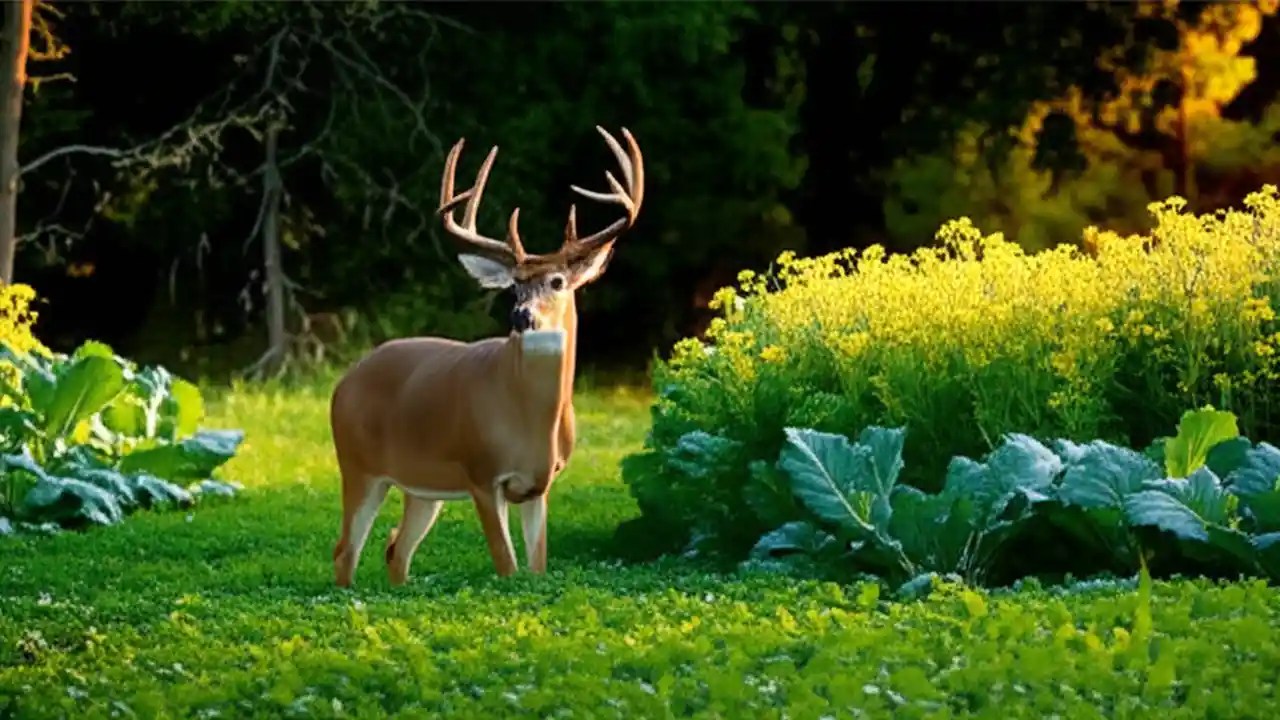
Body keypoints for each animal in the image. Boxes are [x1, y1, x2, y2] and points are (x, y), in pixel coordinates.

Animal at [329, 125, 644, 588]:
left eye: (557, 281)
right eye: (514, 285)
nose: (521, 315)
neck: (530, 417)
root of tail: (344, 382)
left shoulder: (540, 484)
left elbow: (537, 565)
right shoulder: (481, 472)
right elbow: (506, 565)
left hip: (421, 486)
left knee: (395, 548)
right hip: (357, 465)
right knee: (346, 550)